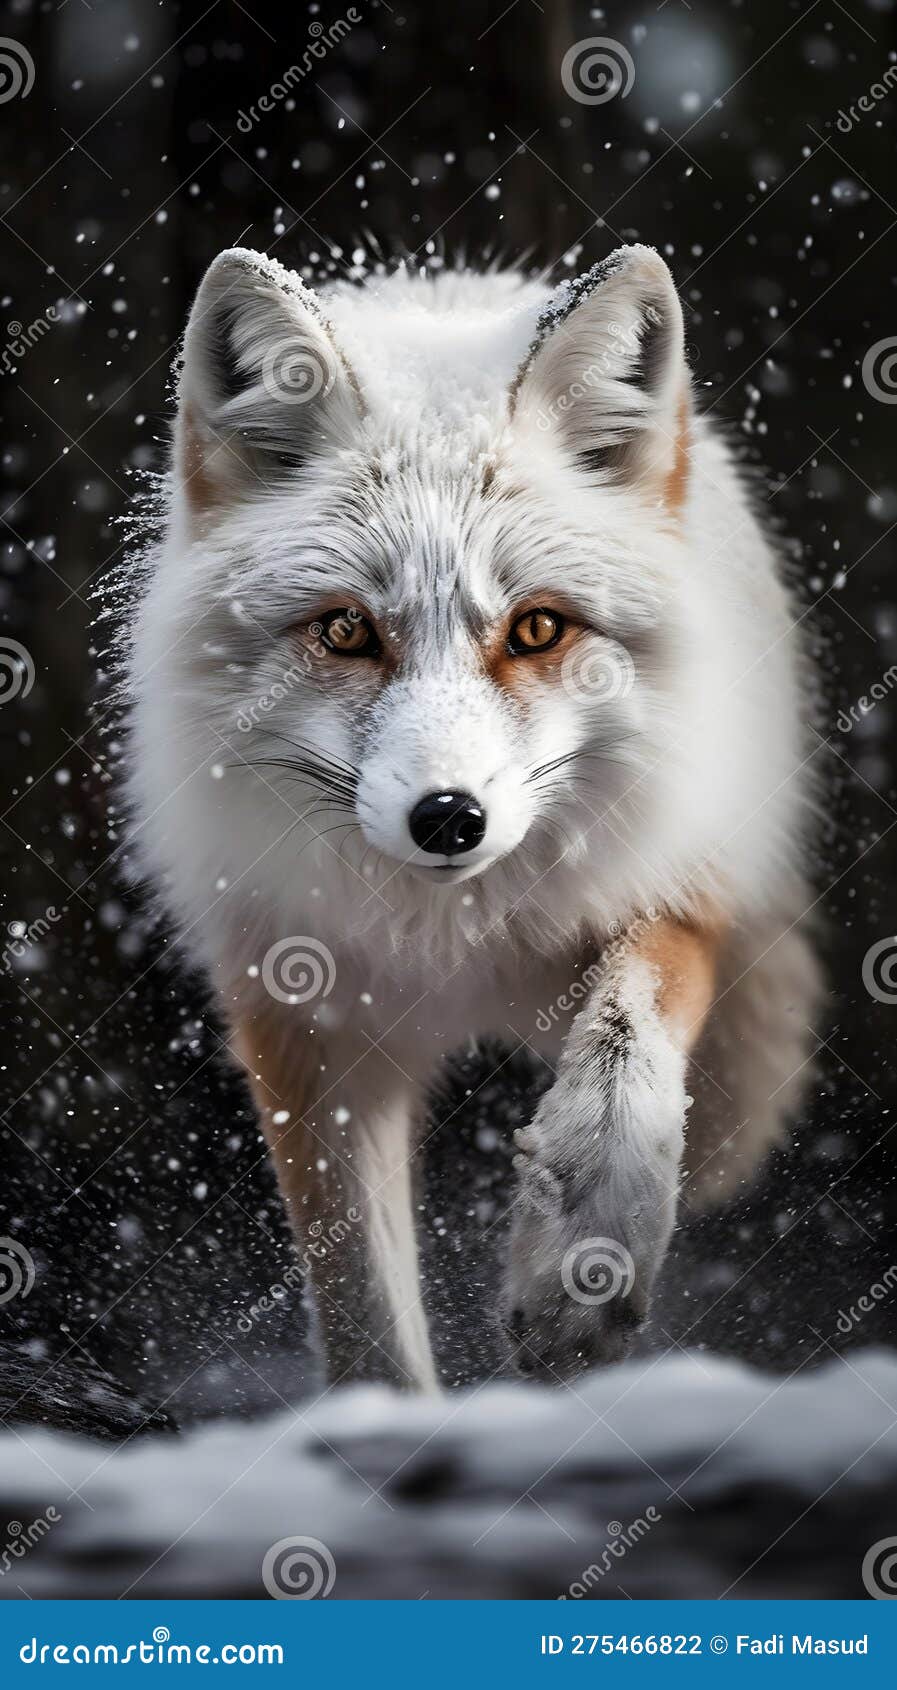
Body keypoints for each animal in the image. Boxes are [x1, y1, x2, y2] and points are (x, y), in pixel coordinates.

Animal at [123, 243, 821, 1392]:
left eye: (536, 629)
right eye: (347, 631)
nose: (448, 817)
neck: (457, 942)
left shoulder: (673, 889)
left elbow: (625, 1041)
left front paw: (583, 1259)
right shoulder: (301, 1014)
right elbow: (363, 1310)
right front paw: (387, 1422)